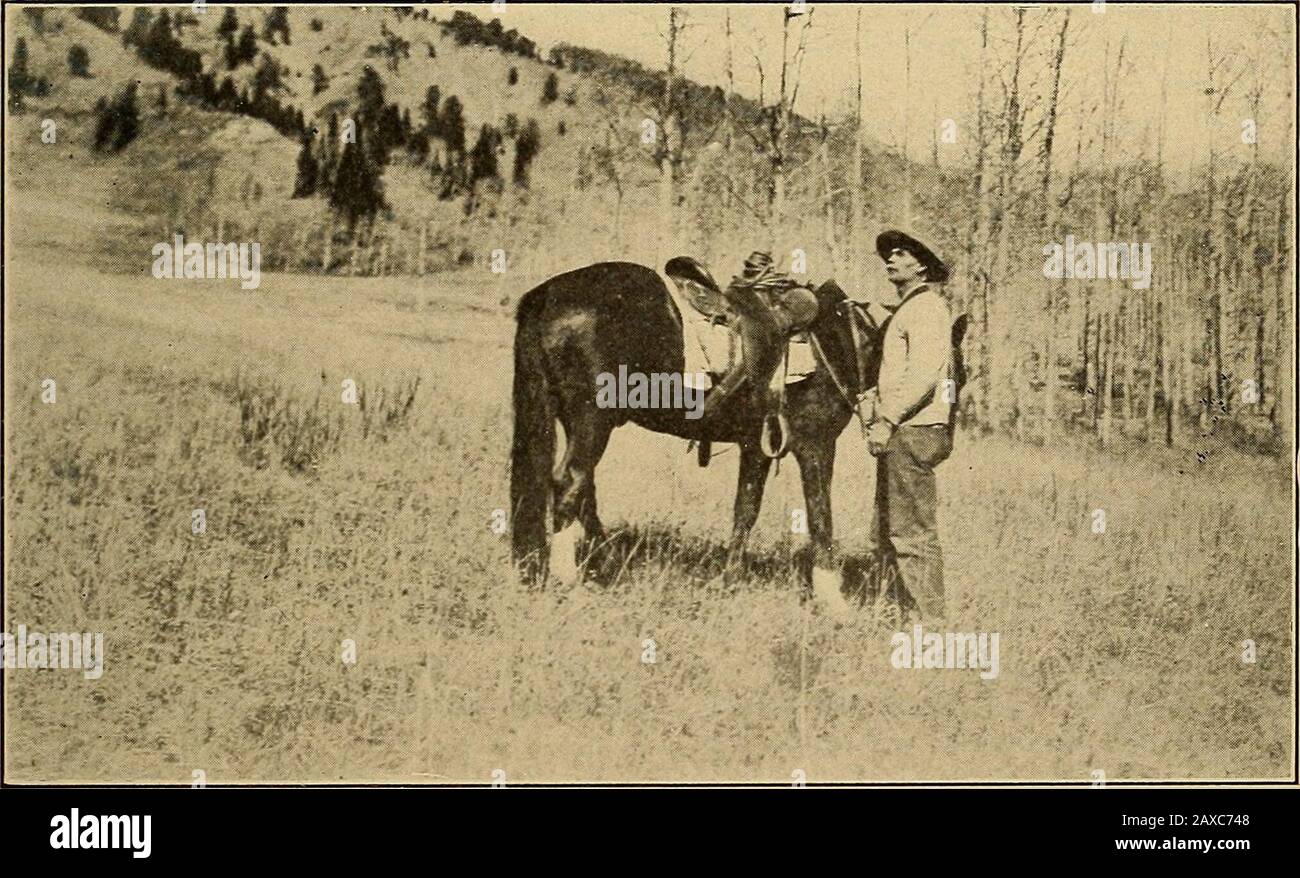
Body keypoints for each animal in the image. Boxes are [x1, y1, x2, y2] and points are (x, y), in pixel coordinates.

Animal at [509, 260, 884, 600]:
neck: (839, 340)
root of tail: (547, 294)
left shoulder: (757, 447)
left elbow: (745, 510)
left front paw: (731, 580)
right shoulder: (815, 445)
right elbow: (820, 516)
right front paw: (833, 599)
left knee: (584, 491)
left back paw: (613, 565)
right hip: (592, 419)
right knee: (569, 482)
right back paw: (568, 577)